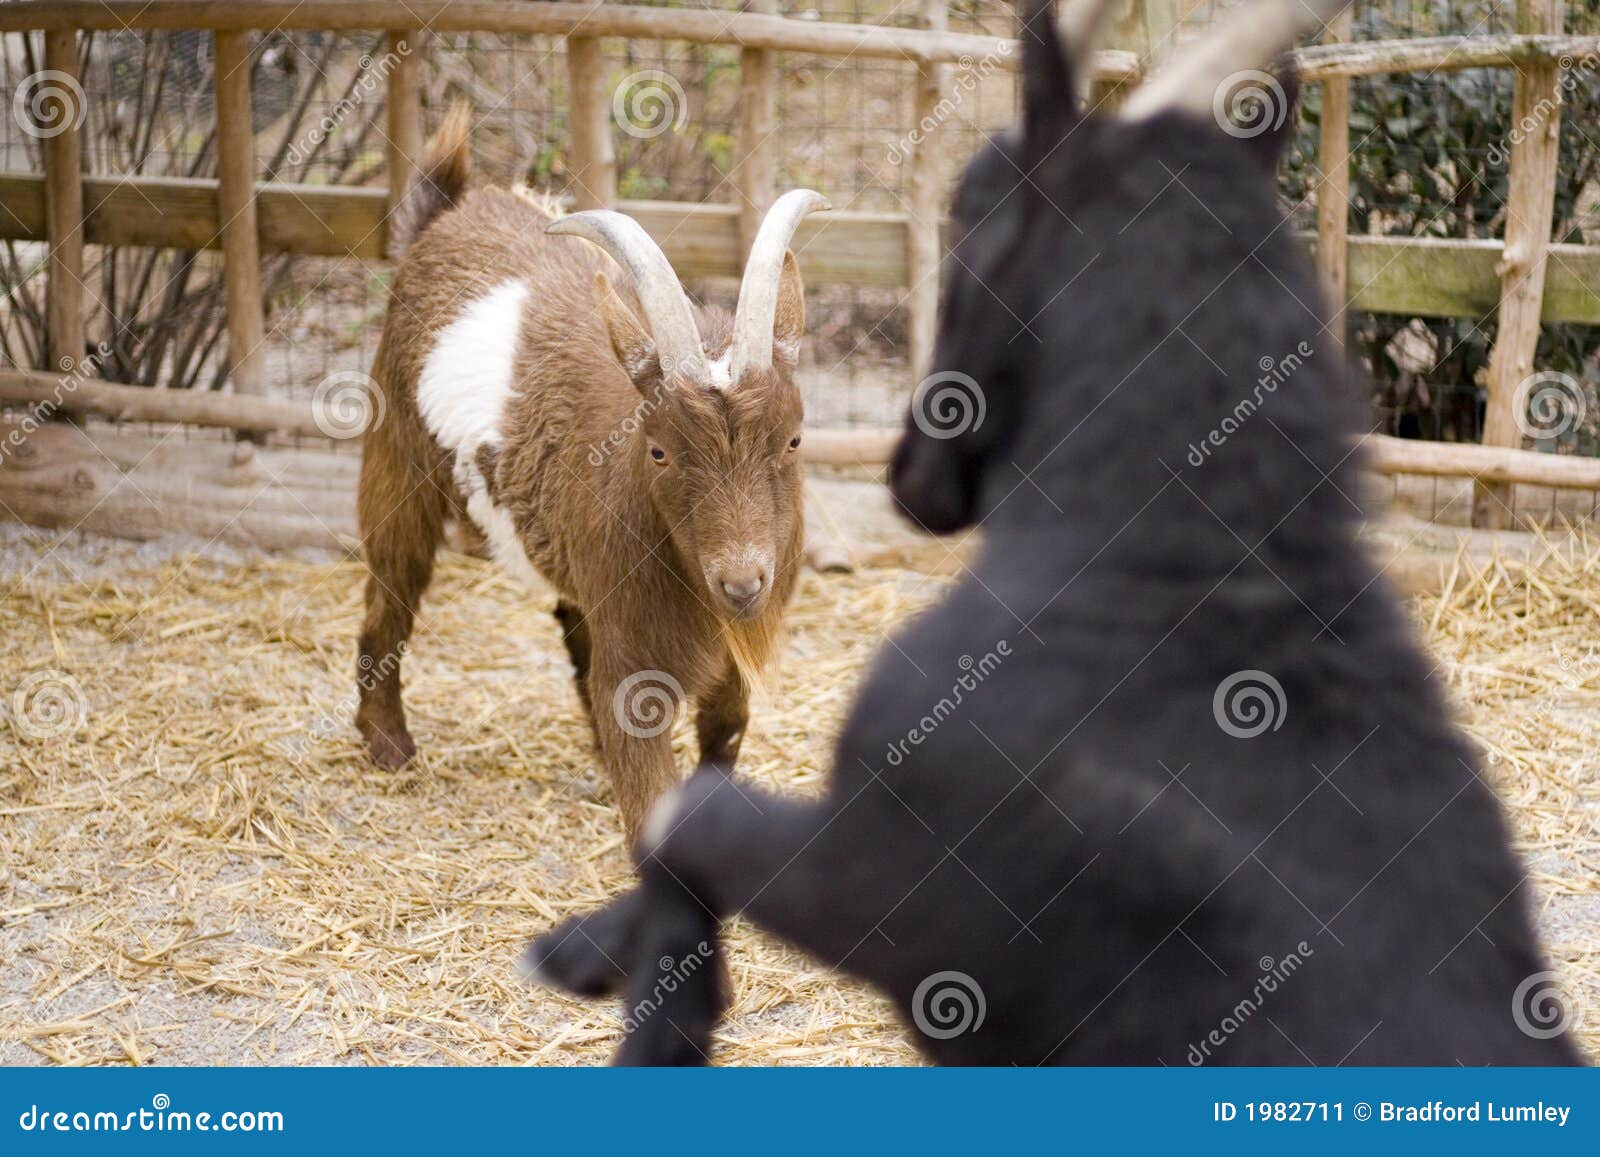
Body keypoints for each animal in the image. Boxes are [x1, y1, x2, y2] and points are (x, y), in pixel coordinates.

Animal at [355, 105, 829, 838]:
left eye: (794, 439)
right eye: (659, 450)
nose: (743, 581)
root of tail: (446, 215)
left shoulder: (724, 640)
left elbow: (726, 724)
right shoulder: (635, 663)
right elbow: (649, 783)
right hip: (395, 453)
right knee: (391, 587)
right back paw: (388, 745)